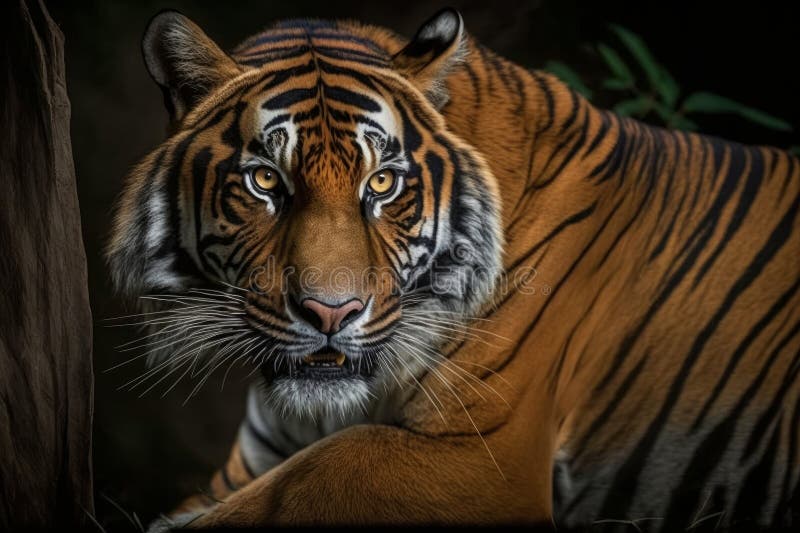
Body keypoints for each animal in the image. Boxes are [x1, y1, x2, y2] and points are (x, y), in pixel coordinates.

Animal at [106, 7, 800, 532]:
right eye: (266, 182)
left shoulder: (483, 455)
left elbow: (306, 480)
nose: (332, 312)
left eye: (381, 183)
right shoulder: (250, 460)